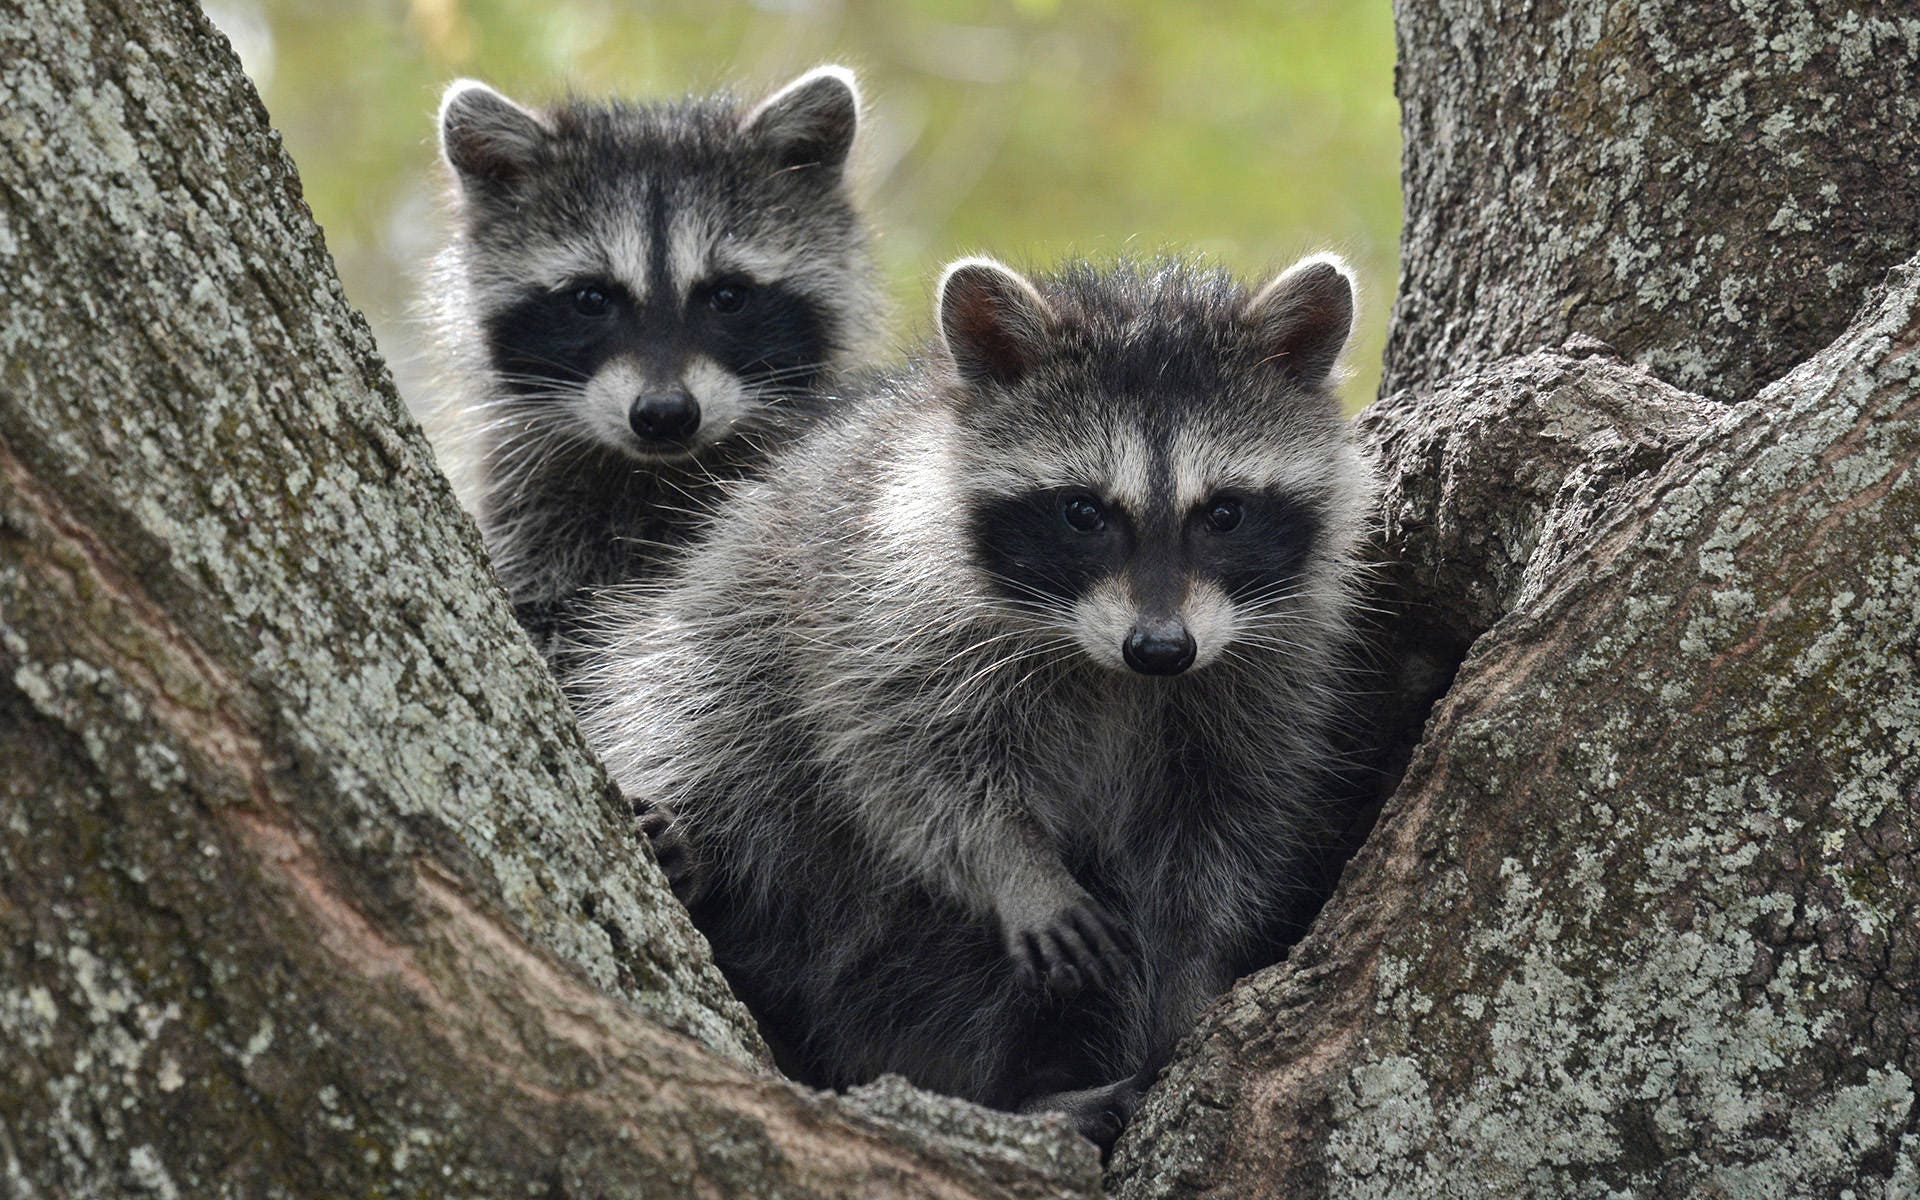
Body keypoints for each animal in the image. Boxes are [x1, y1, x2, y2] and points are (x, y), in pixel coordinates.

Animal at [578, 253, 1372, 1145]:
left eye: (1225, 513)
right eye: (1083, 512)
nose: (1162, 649)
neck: (1111, 671)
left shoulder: (1267, 672)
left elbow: (1222, 825)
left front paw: (1193, 972)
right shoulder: (882, 601)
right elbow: (910, 762)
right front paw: (1012, 863)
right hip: (727, 636)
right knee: (705, 717)